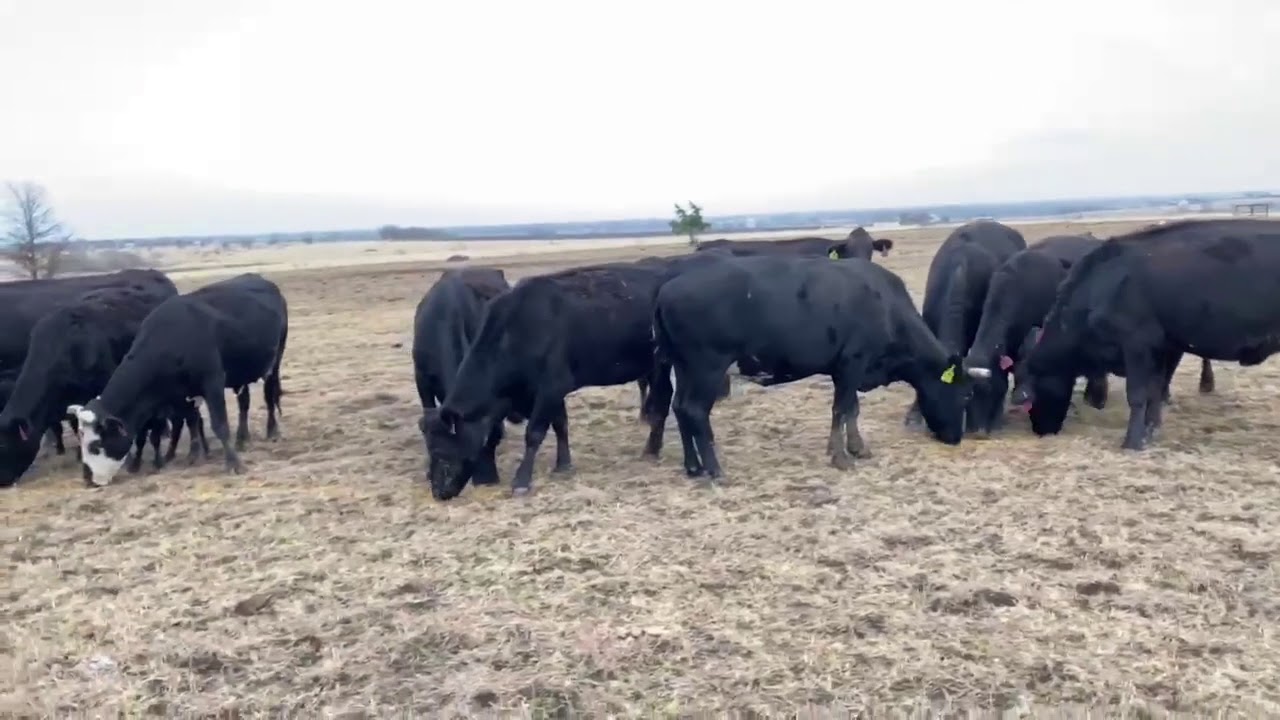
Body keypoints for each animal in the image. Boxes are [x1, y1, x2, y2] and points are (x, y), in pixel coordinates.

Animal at [67, 273, 288, 486]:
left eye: (96, 445)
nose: (87, 478)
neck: (172, 340)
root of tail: (261, 280)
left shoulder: (213, 382)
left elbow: (219, 424)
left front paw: (234, 464)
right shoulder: (180, 394)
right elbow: (190, 420)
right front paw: (193, 454)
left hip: (275, 361)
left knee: (269, 395)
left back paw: (272, 431)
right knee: (244, 402)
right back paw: (242, 439)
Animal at [650, 255, 972, 479]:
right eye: (966, 395)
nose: (957, 439)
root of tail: (667, 287)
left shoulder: (844, 369)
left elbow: (851, 409)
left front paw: (856, 447)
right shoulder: (853, 362)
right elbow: (841, 409)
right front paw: (841, 457)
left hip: (684, 366)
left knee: (680, 408)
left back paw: (693, 467)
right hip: (707, 366)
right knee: (694, 410)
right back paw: (714, 469)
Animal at [1025, 218, 1280, 450]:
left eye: (1034, 393)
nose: (1040, 431)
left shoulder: (1136, 344)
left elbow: (1137, 395)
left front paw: (1132, 441)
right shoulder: (1162, 348)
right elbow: (1155, 390)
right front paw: (1151, 429)